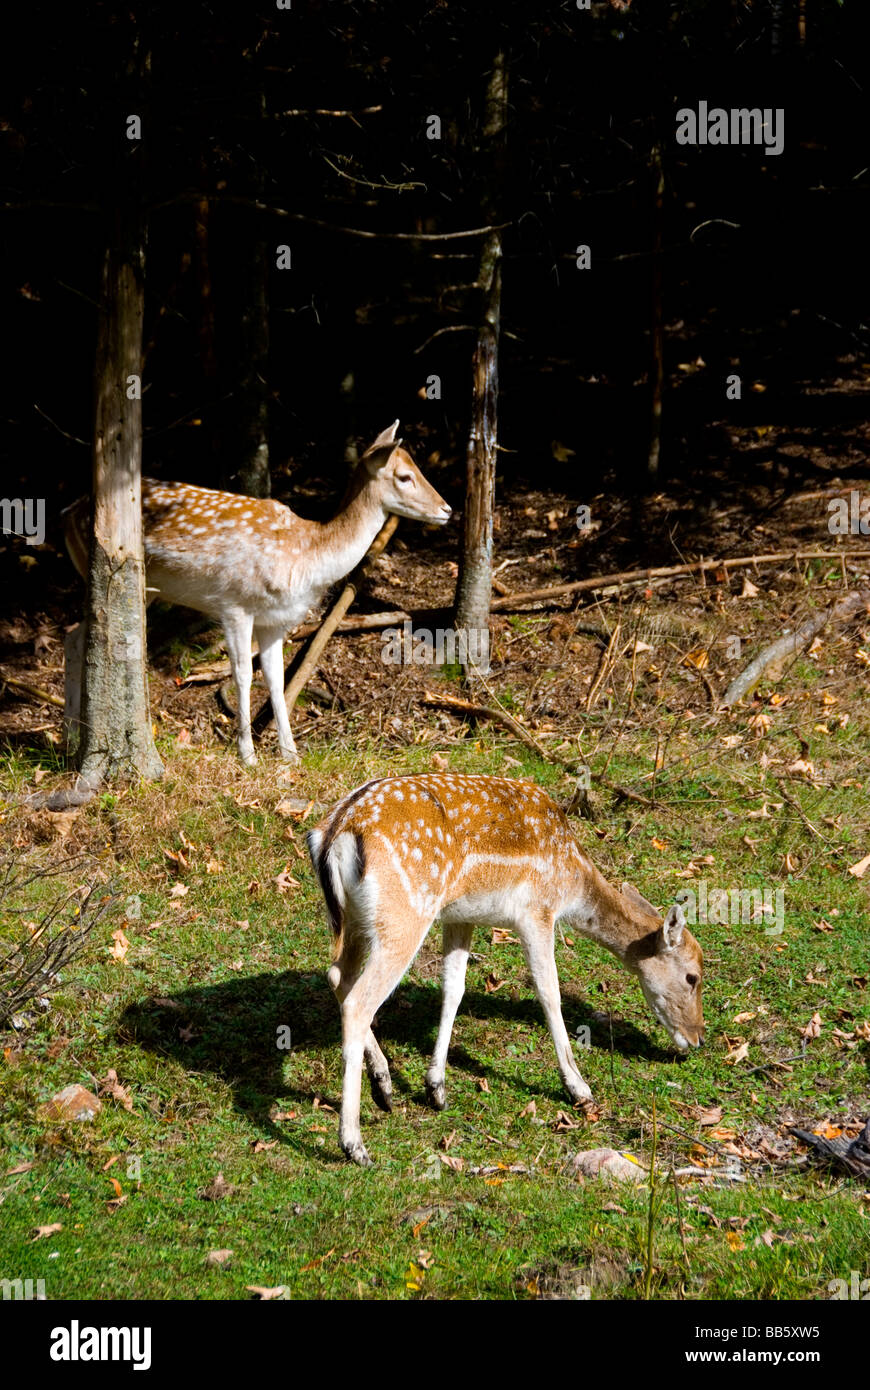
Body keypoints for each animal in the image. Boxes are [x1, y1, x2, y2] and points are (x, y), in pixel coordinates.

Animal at [64, 423, 451, 765]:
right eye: (404, 476)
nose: (446, 509)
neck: (304, 557)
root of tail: (68, 511)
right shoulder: (234, 604)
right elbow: (243, 674)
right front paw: (247, 755)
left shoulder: (275, 621)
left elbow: (278, 681)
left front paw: (290, 754)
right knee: (86, 636)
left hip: (147, 590)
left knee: (74, 635)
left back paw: (71, 733)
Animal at [307, 772, 705, 1166]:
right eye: (693, 977)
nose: (697, 1039)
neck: (572, 880)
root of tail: (335, 831)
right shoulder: (537, 912)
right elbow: (549, 992)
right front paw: (579, 1089)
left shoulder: (460, 915)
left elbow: (454, 990)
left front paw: (436, 1088)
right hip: (404, 914)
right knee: (358, 1001)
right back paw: (354, 1144)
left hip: (355, 919)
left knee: (337, 975)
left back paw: (384, 1084)